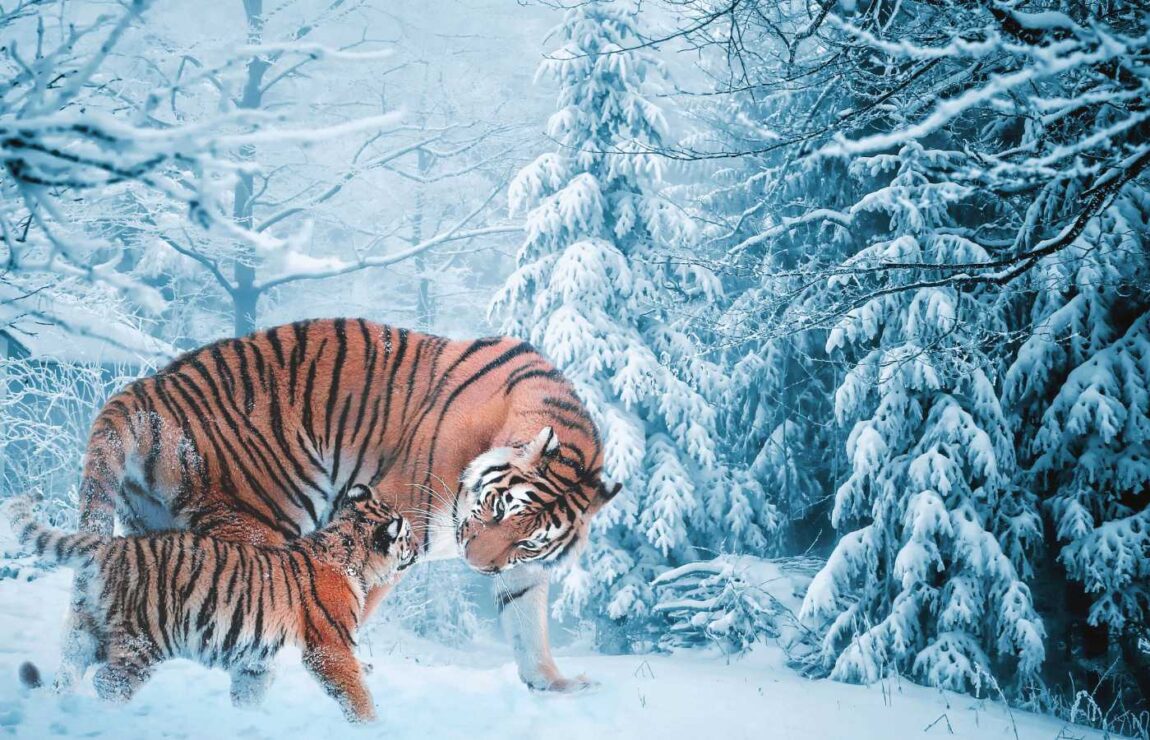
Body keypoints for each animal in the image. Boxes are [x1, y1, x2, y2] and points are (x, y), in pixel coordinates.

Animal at [5, 484, 415, 723]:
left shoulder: (256, 657)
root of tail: (111, 545)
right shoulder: (330, 648)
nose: (416, 547)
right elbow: (356, 692)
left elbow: (250, 691)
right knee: (110, 682)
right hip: (143, 640)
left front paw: (247, 725)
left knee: (68, 669)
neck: (348, 549)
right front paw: (373, 725)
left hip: (85, 629)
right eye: (407, 536)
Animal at [58, 319, 619, 693]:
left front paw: (552, 684)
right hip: (260, 517)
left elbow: (528, 623)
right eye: (499, 508)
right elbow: (354, 598)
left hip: (148, 531)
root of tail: (141, 390)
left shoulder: (520, 569)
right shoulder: (397, 518)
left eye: (529, 541)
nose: (476, 564)